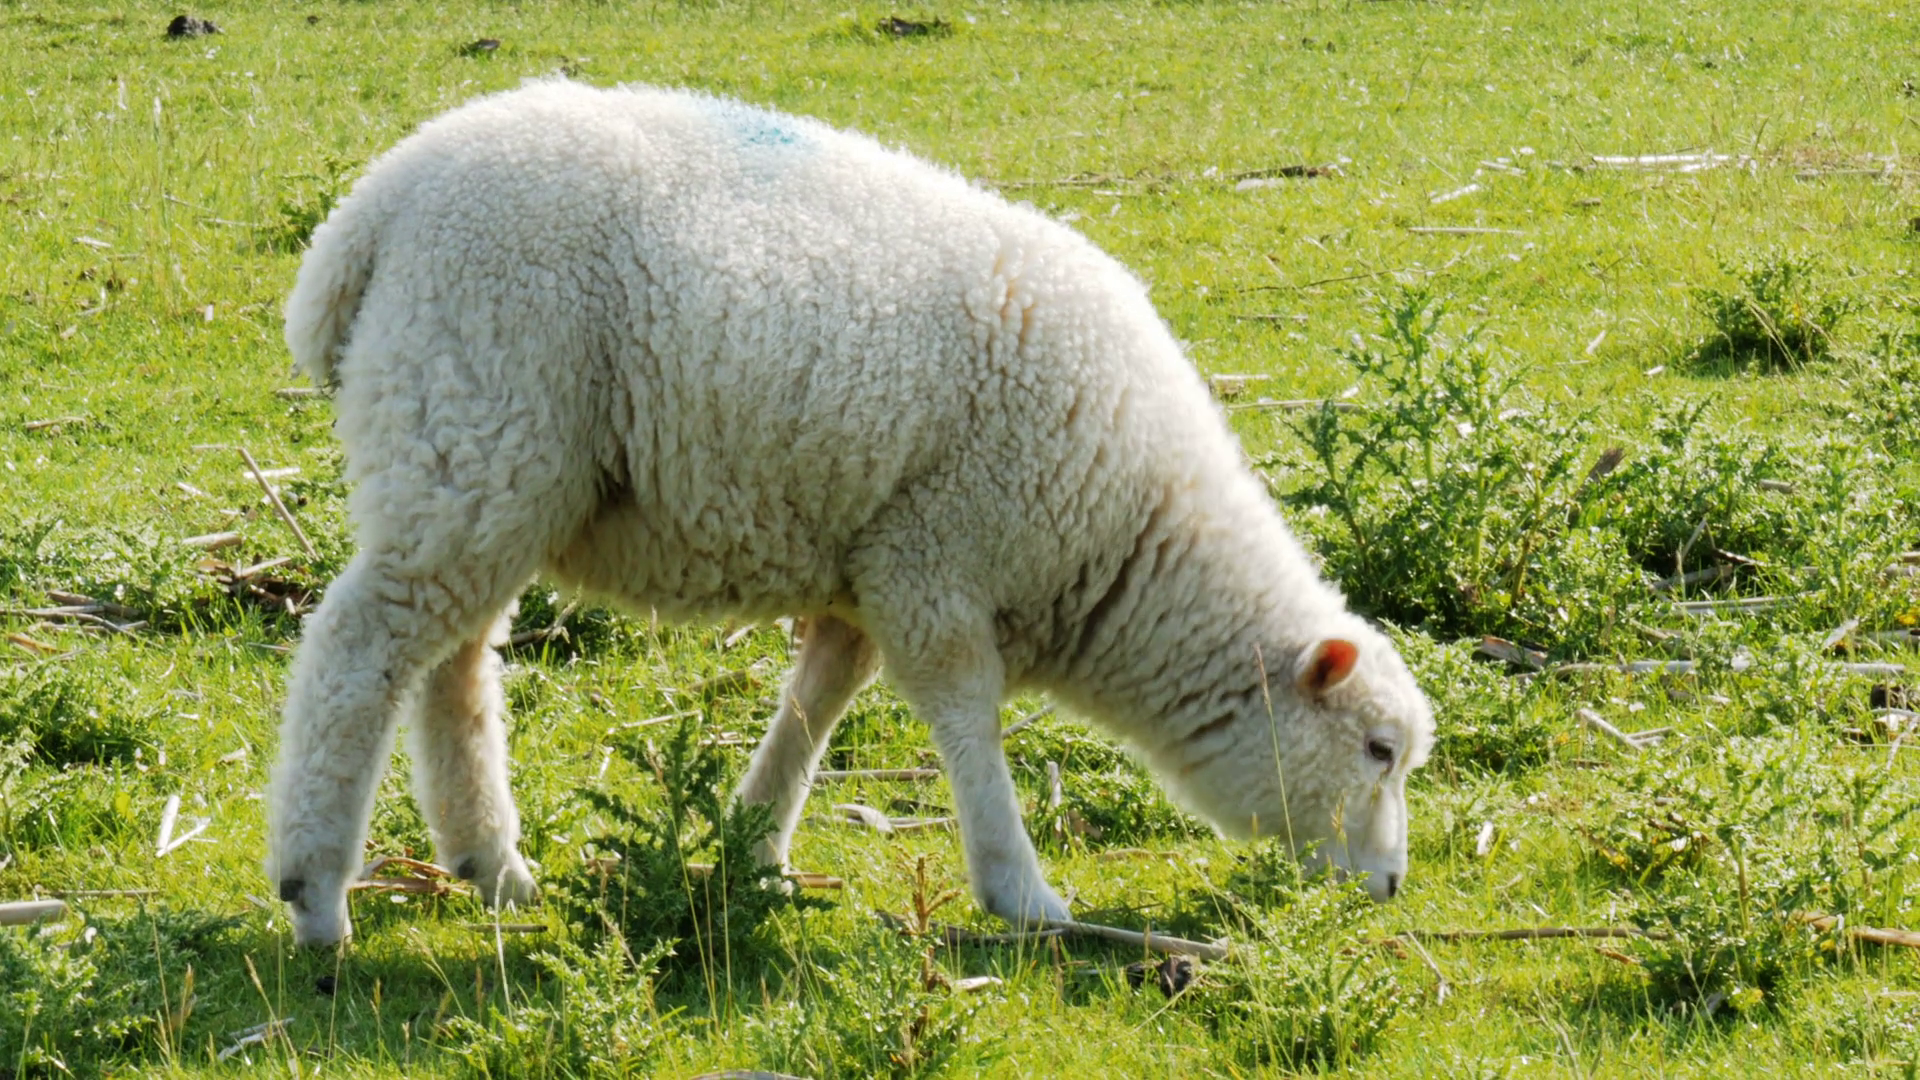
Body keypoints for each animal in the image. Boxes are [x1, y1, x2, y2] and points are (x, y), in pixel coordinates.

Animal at [269, 78, 1436, 947]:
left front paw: (750, 848)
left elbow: (819, 701)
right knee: (361, 649)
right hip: (476, 426)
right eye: (1378, 750)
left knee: (454, 663)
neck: (1129, 530)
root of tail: (371, 214)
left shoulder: (870, 567)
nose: (1390, 887)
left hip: (491, 471)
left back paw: (492, 866)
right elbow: (965, 719)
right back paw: (316, 892)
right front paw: (1022, 893)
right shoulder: (937, 561)